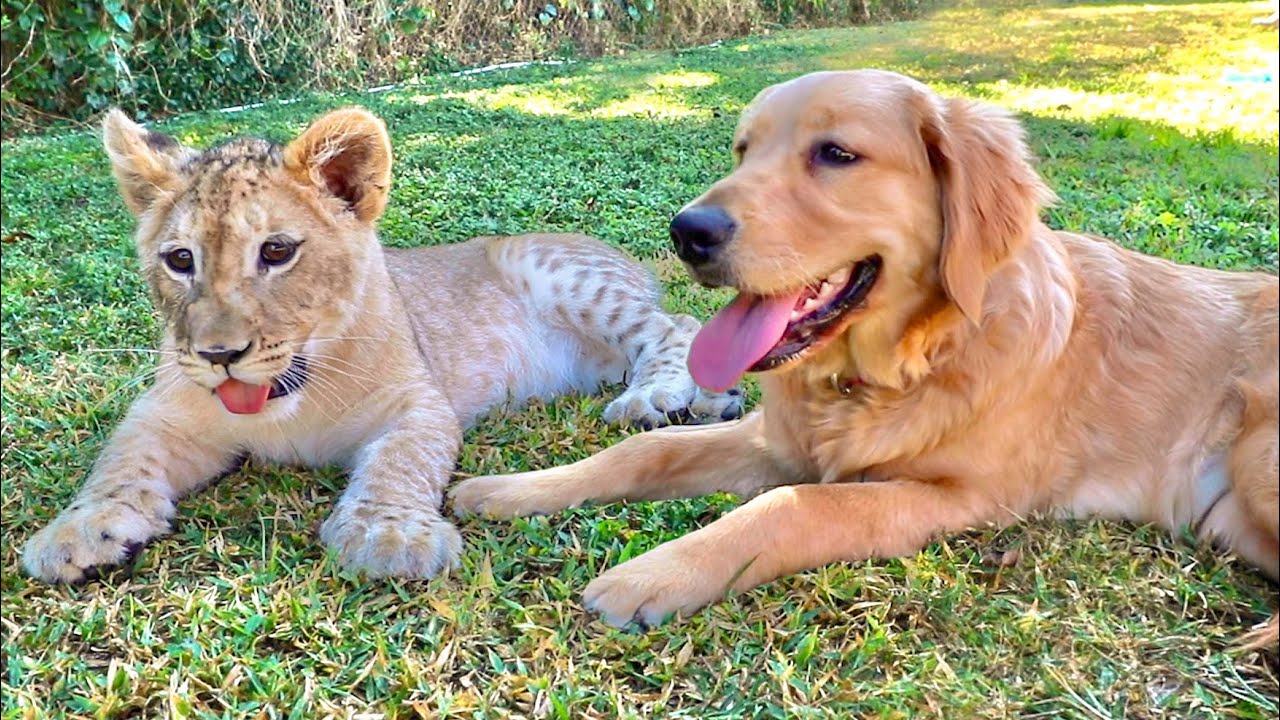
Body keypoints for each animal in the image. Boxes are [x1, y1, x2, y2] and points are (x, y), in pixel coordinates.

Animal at [20, 107, 740, 583]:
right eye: (179, 260)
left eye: (276, 252)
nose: (220, 355)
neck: (292, 400)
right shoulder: (165, 410)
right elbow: (120, 462)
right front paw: (77, 530)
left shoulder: (421, 402)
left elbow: (400, 461)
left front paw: (387, 533)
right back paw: (710, 404)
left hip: (561, 275)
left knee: (674, 325)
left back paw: (655, 398)